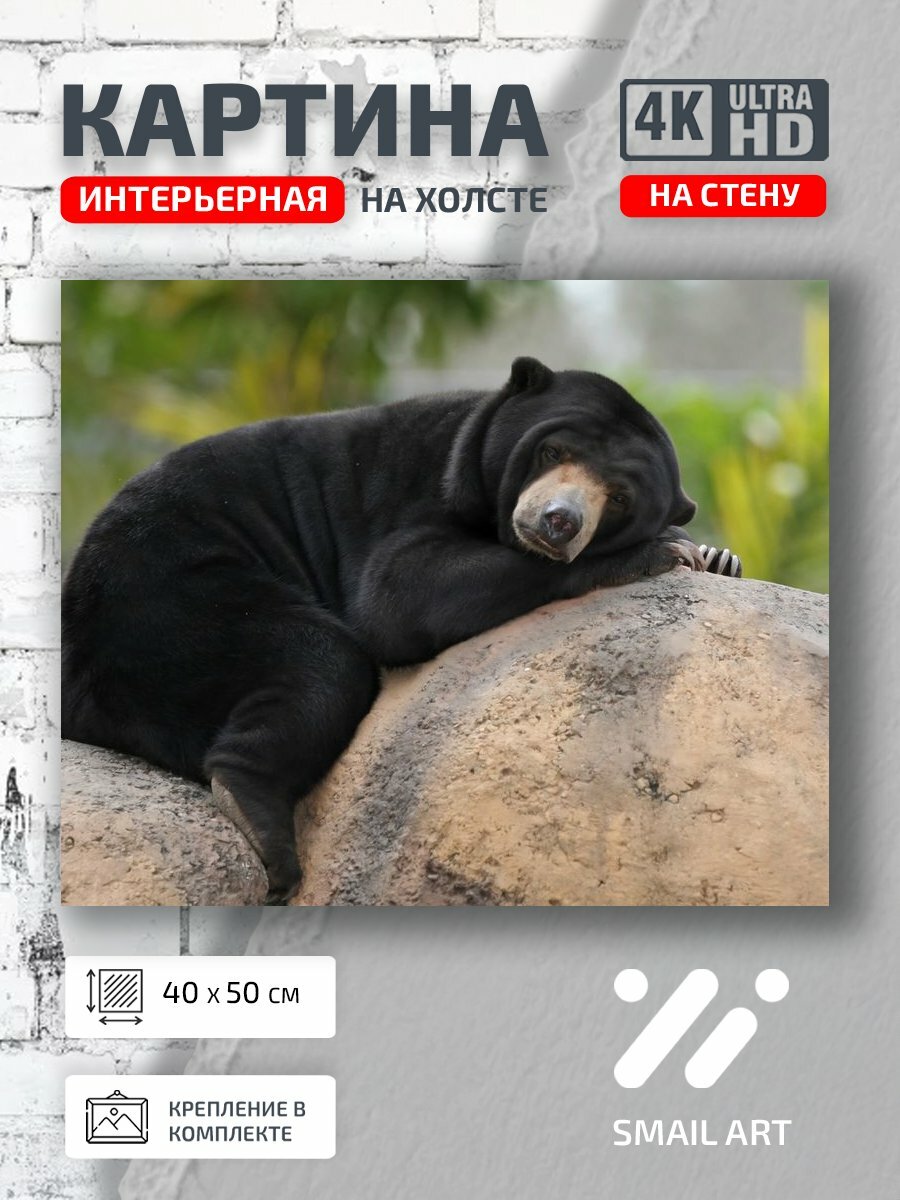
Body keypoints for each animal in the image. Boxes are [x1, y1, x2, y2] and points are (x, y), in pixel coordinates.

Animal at [62, 357, 741, 904]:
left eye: (619, 497)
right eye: (553, 453)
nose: (558, 522)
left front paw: (717, 557)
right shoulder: (414, 492)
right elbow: (396, 596)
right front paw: (664, 551)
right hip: (166, 598)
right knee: (321, 661)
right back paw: (261, 825)